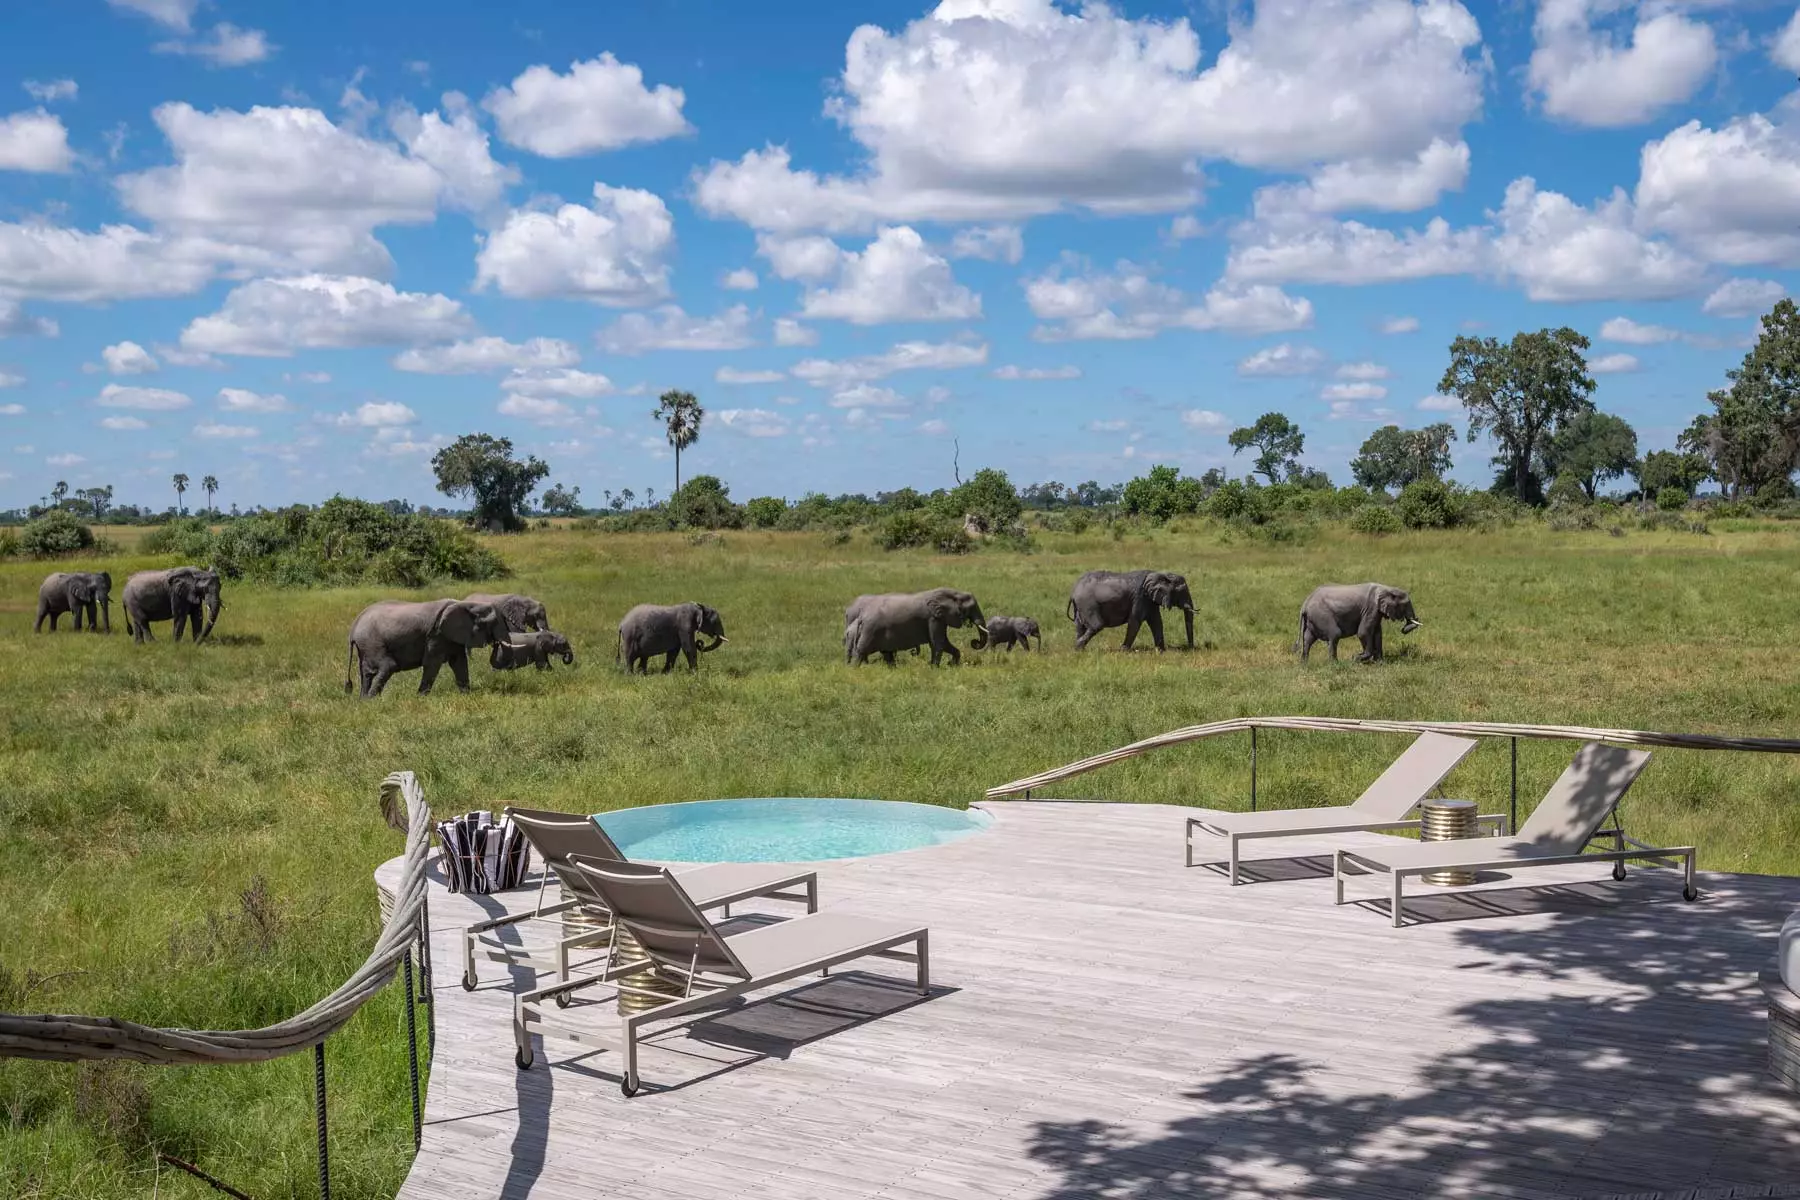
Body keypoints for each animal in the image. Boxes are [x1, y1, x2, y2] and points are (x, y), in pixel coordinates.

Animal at [345, 597, 511, 698]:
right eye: (495, 622)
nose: (496, 644)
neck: (468, 604)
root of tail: (353, 627)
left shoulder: (451, 636)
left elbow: (459, 663)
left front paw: (466, 695)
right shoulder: (436, 635)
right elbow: (432, 664)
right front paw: (420, 698)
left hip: (365, 647)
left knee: (366, 673)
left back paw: (363, 701)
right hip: (373, 643)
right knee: (388, 666)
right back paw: (371, 700)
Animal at [842, 582, 986, 665]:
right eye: (971, 608)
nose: (974, 642)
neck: (953, 593)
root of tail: (862, 616)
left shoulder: (939, 618)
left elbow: (943, 642)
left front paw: (952, 665)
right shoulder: (933, 618)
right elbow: (938, 643)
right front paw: (934, 668)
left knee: (885, 653)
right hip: (870, 630)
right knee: (860, 651)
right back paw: (856, 669)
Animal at [1065, 572, 1195, 651]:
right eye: (1182, 592)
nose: (1191, 648)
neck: (1162, 574)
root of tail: (1073, 592)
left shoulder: (1149, 600)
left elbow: (1157, 622)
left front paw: (1161, 651)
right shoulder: (1140, 597)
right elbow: (1135, 621)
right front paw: (1123, 651)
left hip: (1081, 607)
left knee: (1079, 626)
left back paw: (1080, 650)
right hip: (1088, 604)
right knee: (1097, 625)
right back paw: (1078, 647)